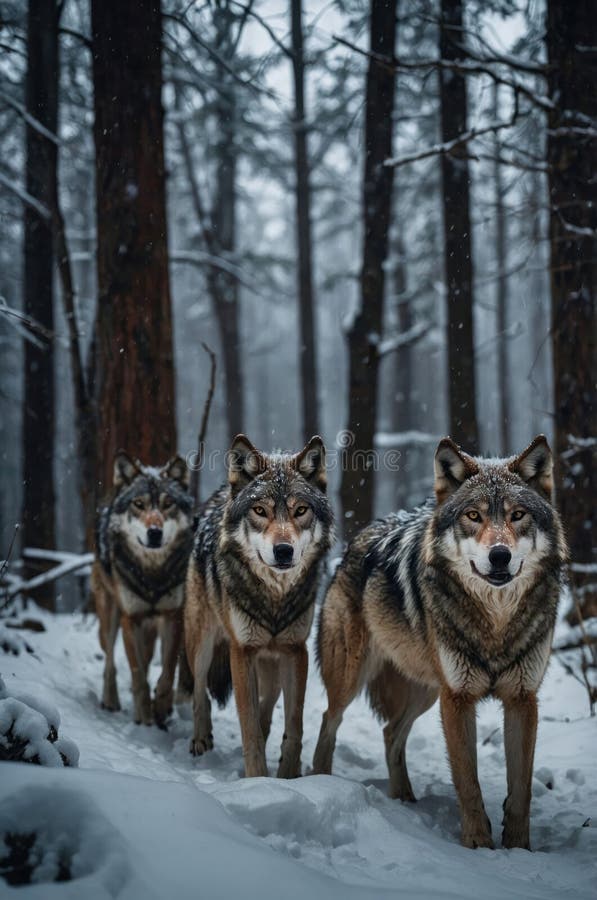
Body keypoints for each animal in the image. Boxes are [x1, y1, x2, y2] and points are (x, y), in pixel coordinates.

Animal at [92, 451, 195, 727]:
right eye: (139, 504)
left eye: (168, 504)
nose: (155, 533)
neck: (152, 574)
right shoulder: (132, 619)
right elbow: (137, 673)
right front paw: (145, 717)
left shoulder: (172, 617)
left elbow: (167, 671)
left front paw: (160, 706)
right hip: (110, 616)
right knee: (109, 660)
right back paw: (111, 700)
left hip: (151, 627)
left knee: (147, 660)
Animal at [184, 434, 333, 778]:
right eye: (260, 510)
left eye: (300, 510)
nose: (283, 550)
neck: (274, 600)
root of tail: (221, 493)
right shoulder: (242, 651)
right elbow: (248, 727)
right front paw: (257, 778)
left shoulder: (295, 651)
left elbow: (293, 725)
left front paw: (287, 776)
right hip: (203, 643)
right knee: (199, 691)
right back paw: (200, 739)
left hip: (272, 663)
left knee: (266, 704)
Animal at [312, 435, 567, 850]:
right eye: (474, 516)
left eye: (517, 515)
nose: (500, 555)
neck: (495, 624)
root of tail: (358, 539)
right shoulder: (457, 698)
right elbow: (468, 782)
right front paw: (478, 843)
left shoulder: (521, 699)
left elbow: (521, 788)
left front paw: (518, 846)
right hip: (353, 678)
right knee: (328, 722)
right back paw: (319, 783)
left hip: (425, 691)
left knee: (390, 732)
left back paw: (404, 798)